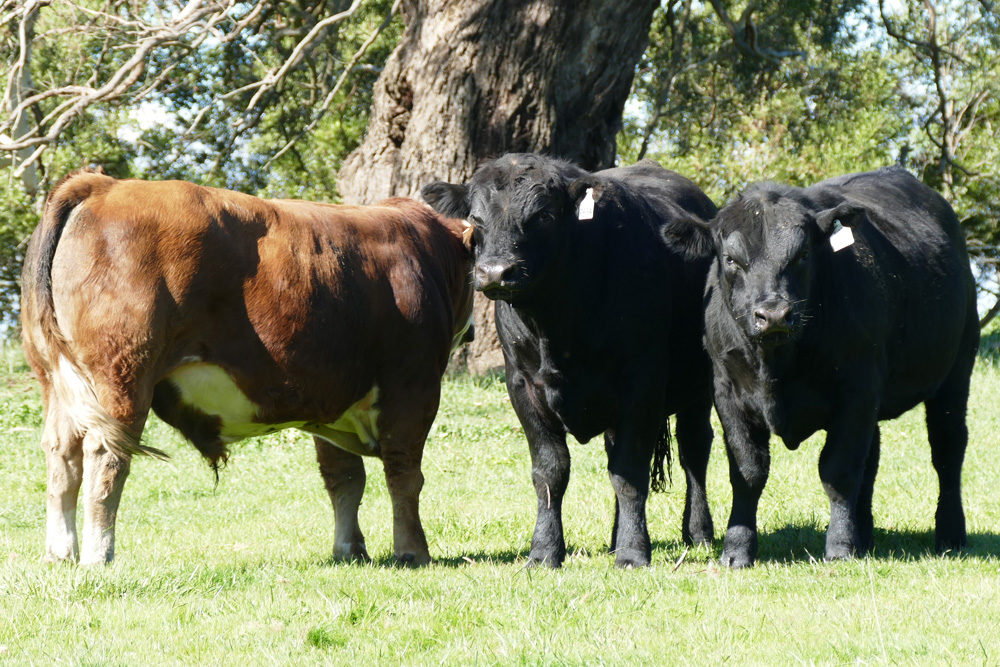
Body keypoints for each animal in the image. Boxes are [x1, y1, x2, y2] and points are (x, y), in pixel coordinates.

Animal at [20, 170, 474, 565]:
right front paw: (412, 551)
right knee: (105, 457)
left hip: (56, 380)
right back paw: (98, 556)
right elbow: (404, 475)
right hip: (122, 376)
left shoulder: (332, 399)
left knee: (62, 456)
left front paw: (350, 550)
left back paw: (60, 553)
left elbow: (344, 478)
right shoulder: (412, 387)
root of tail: (104, 185)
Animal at [422, 153, 719, 568]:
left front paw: (633, 553)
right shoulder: (522, 386)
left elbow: (629, 473)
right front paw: (544, 551)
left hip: (698, 388)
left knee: (695, 451)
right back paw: (614, 538)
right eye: (476, 218)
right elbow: (551, 472)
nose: (495, 272)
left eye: (543, 215)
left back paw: (698, 533)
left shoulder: (641, 385)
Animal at [701, 167, 979, 568]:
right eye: (731, 259)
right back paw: (866, 536)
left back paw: (950, 534)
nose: (774, 315)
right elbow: (748, 472)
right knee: (873, 460)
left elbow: (839, 470)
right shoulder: (726, 391)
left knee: (948, 449)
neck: (777, 364)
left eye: (802, 254)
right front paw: (736, 550)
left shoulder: (856, 391)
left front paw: (840, 547)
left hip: (956, 371)